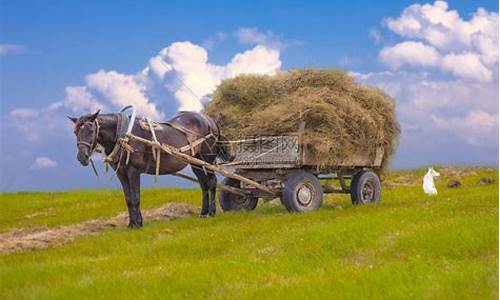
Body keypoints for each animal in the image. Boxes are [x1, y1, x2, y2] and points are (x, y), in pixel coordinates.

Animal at [68, 109, 230, 229]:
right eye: (75, 132)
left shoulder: (133, 171)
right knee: (204, 184)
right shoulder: (121, 172)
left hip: (207, 158)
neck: (123, 135)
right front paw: (131, 224)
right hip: (195, 161)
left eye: (90, 131)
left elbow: (135, 197)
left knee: (212, 182)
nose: (82, 157)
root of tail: (209, 119)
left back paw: (212, 212)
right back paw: (203, 212)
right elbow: (128, 198)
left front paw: (138, 224)